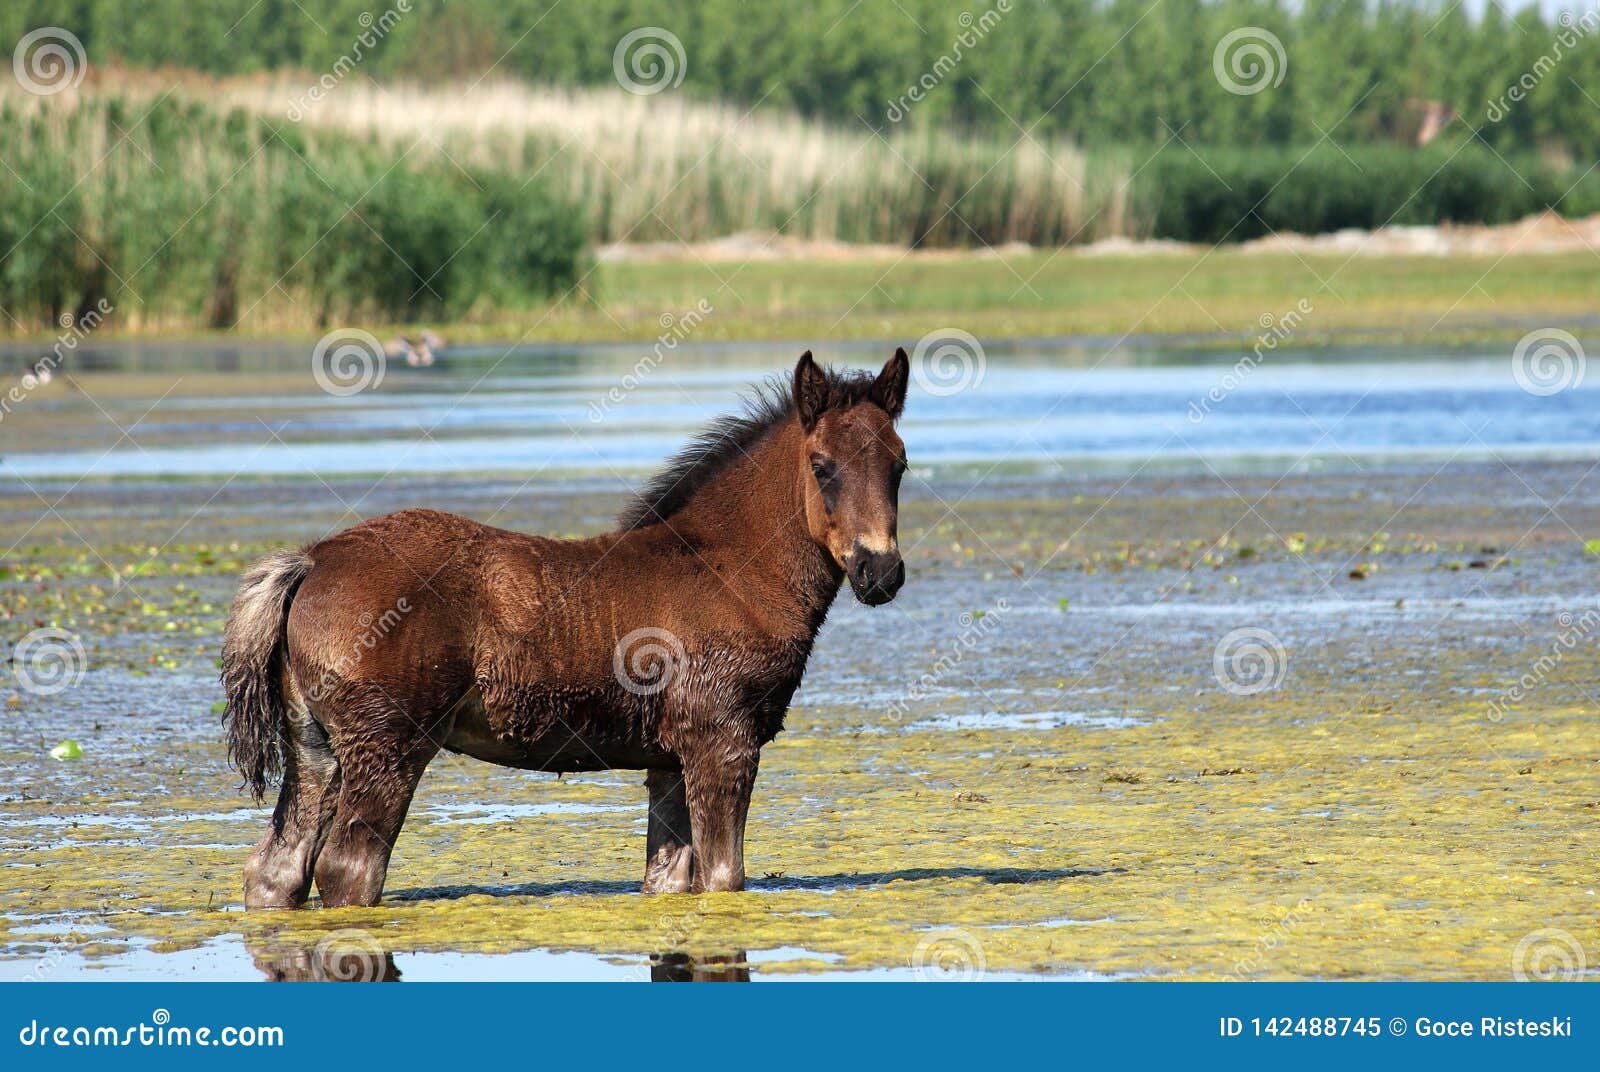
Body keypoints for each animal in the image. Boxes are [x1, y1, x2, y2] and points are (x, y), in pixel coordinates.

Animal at [222, 349, 911, 908]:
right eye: (821, 466)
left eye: (901, 464)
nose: (880, 571)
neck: (728, 570)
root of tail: (311, 561)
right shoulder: (723, 746)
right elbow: (724, 878)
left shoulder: (669, 762)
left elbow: (666, 880)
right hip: (387, 746)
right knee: (349, 872)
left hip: (314, 750)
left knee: (275, 872)